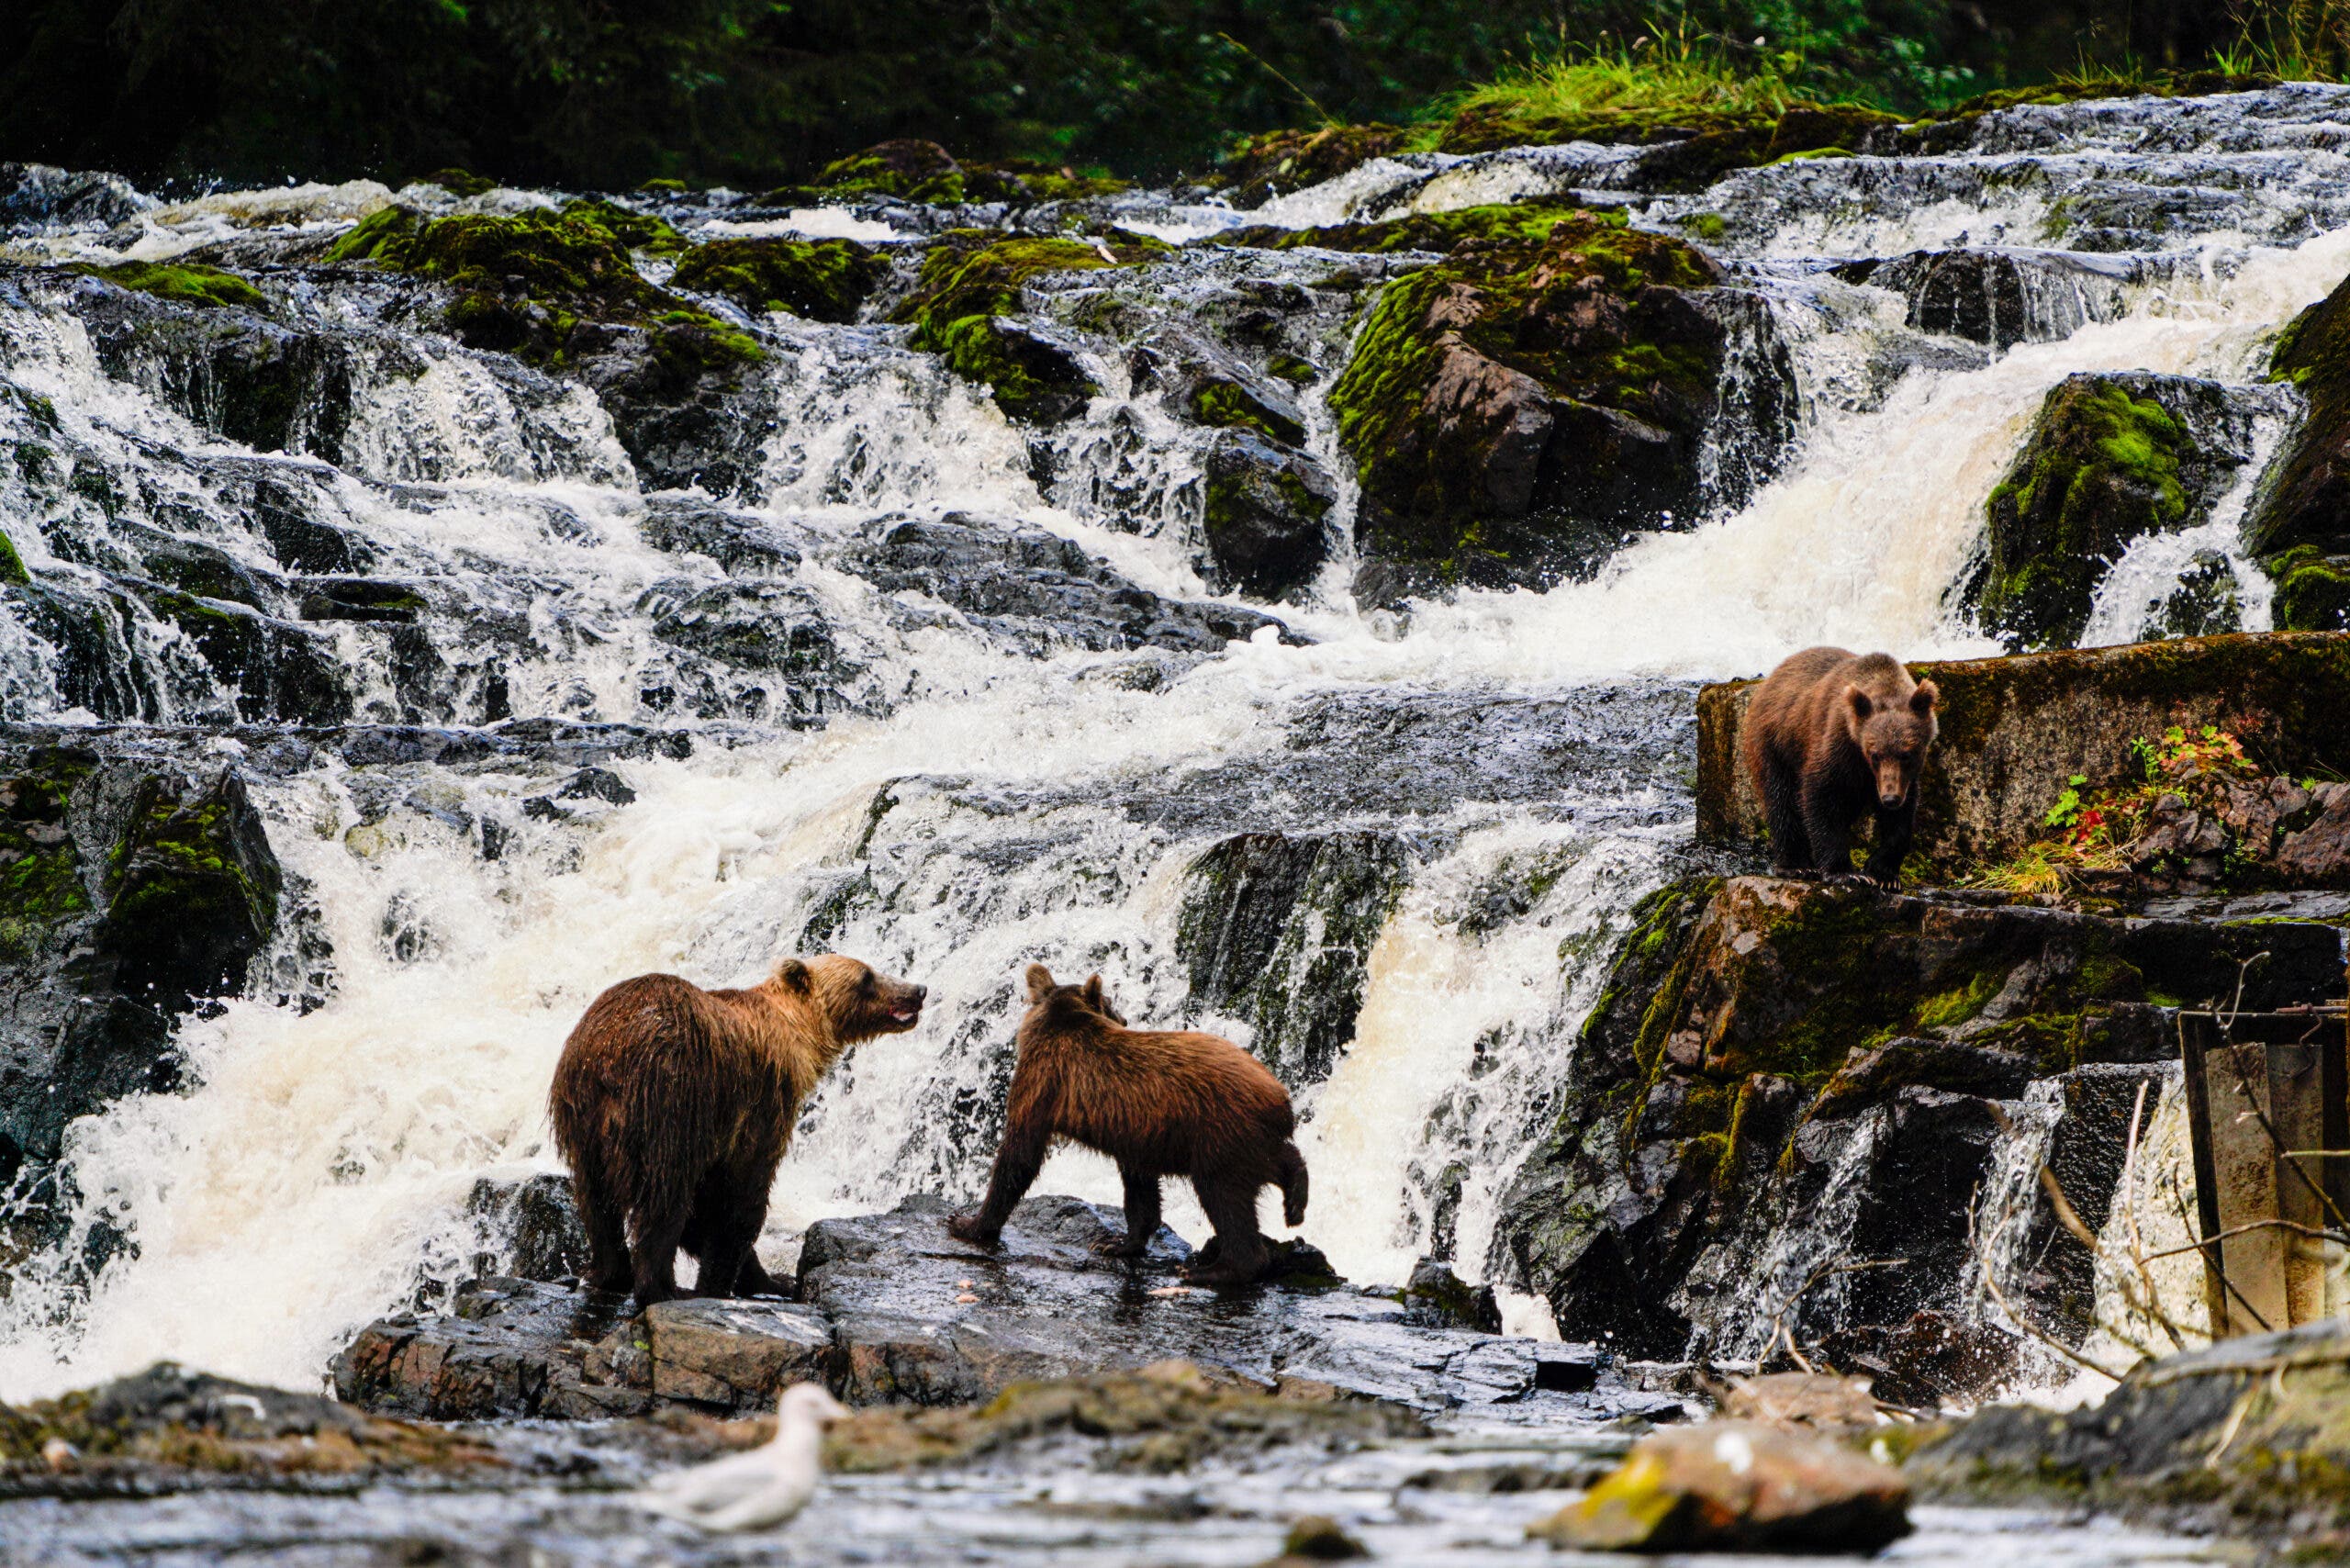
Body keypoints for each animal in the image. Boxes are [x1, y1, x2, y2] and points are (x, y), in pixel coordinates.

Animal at [549, 953, 925, 1308]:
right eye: (867, 976)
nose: (918, 990)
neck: (796, 1035)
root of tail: (609, 1052)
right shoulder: (758, 1105)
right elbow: (741, 1196)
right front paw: (723, 1283)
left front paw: (770, 1279)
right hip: (671, 1097)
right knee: (664, 1195)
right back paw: (660, 1288)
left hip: (581, 1111)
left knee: (595, 1196)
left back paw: (610, 1272)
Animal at [948, 965, 1309, 1288]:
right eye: (1112, 1001)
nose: (1124, 1019)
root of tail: (1280, 1097)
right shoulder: (1136, 1130)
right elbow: (1139, 1188)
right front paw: (1116, 1243)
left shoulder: (1042, 1083)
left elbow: (1019, 1156)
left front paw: (967, 1223)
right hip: (1247, 1136)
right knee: (1277, 1162)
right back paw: (1295, 1201)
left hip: (1220, 1131)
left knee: (1224, 1196)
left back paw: (1212, 1270)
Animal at [1741, 646, 1940, 884]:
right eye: (1875, 754)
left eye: (1906, 754)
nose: (1889, 798)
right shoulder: (1836, 747)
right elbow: (1822, 798)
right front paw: (1846, 872)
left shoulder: (1901, 778)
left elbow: (1903, 817)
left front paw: (1883, 872)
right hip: (1776, 741)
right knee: (1781, 799)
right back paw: (1797, 866)